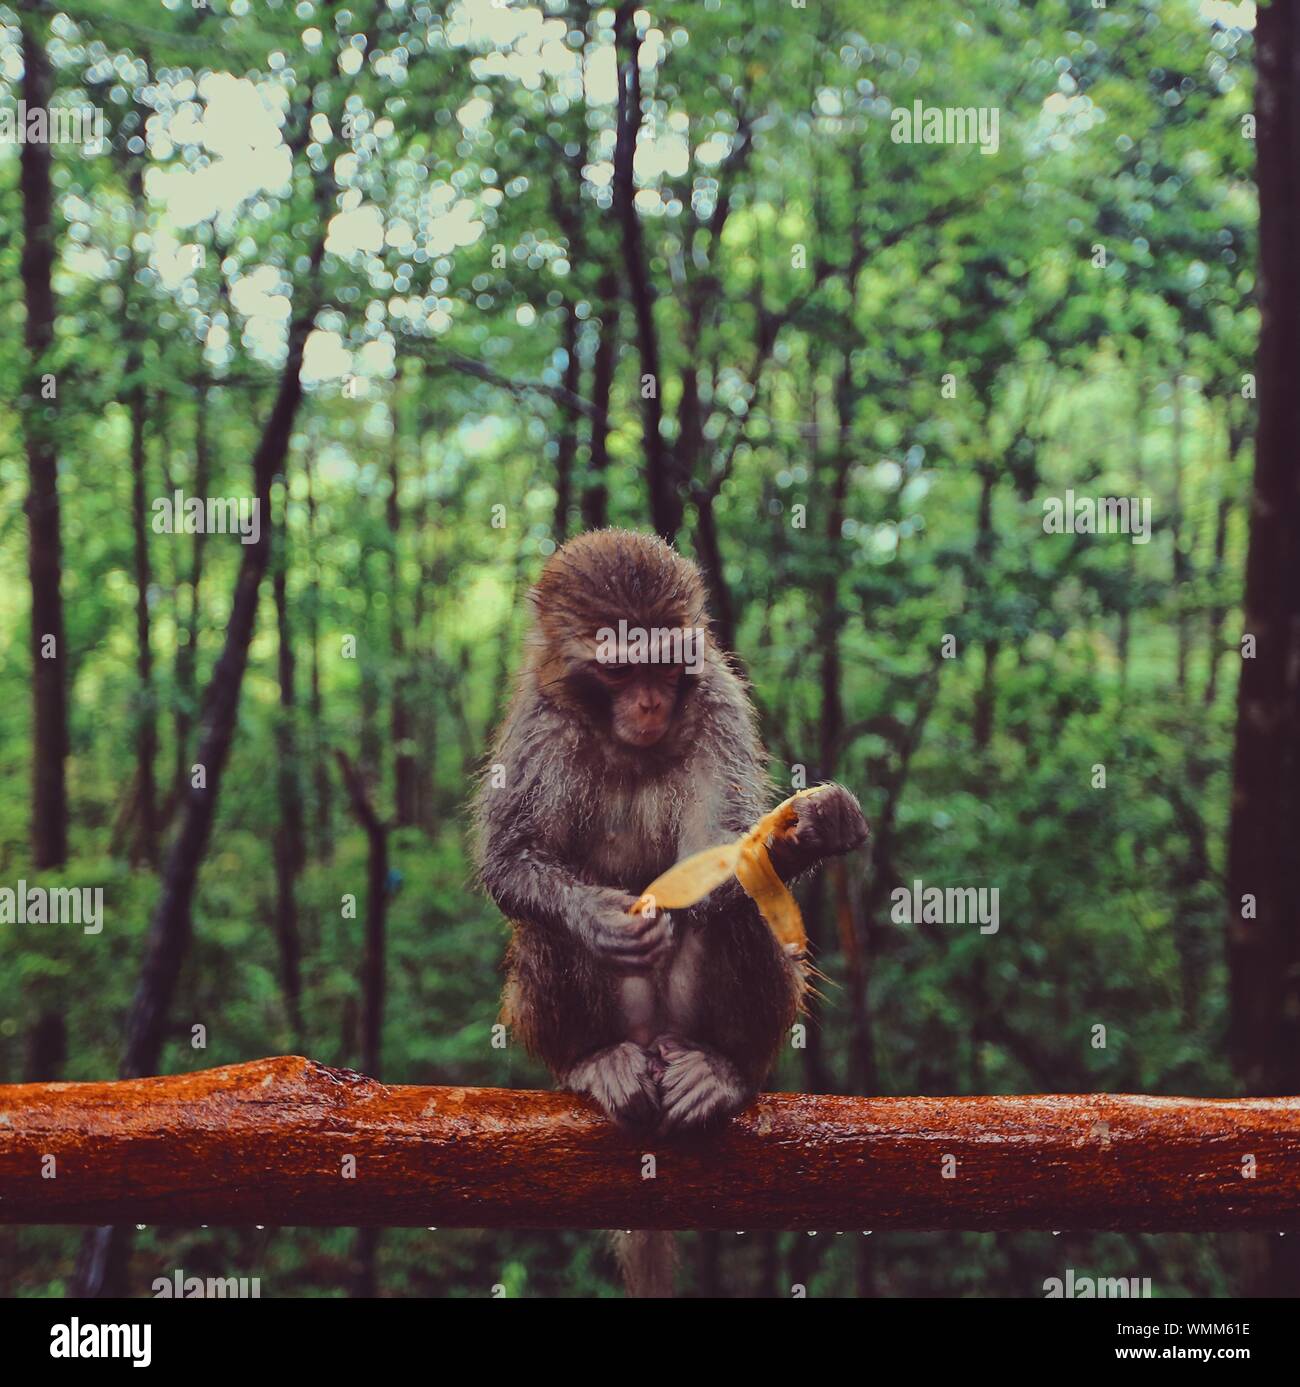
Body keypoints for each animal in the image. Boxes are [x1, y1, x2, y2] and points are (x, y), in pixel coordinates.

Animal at [473, 528, 869, 1142]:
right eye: (619, 671)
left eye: (664, 664)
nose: (650, 703)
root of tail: (655, 1039)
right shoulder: (540, 725)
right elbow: (510, 859)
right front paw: (598, 919)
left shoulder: (718, 700)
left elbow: (716, 852)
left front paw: (805, 834)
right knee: (545, 927)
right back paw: (595, 1058)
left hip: (686, 1019)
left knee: (744, 908)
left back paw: (723, 1069)